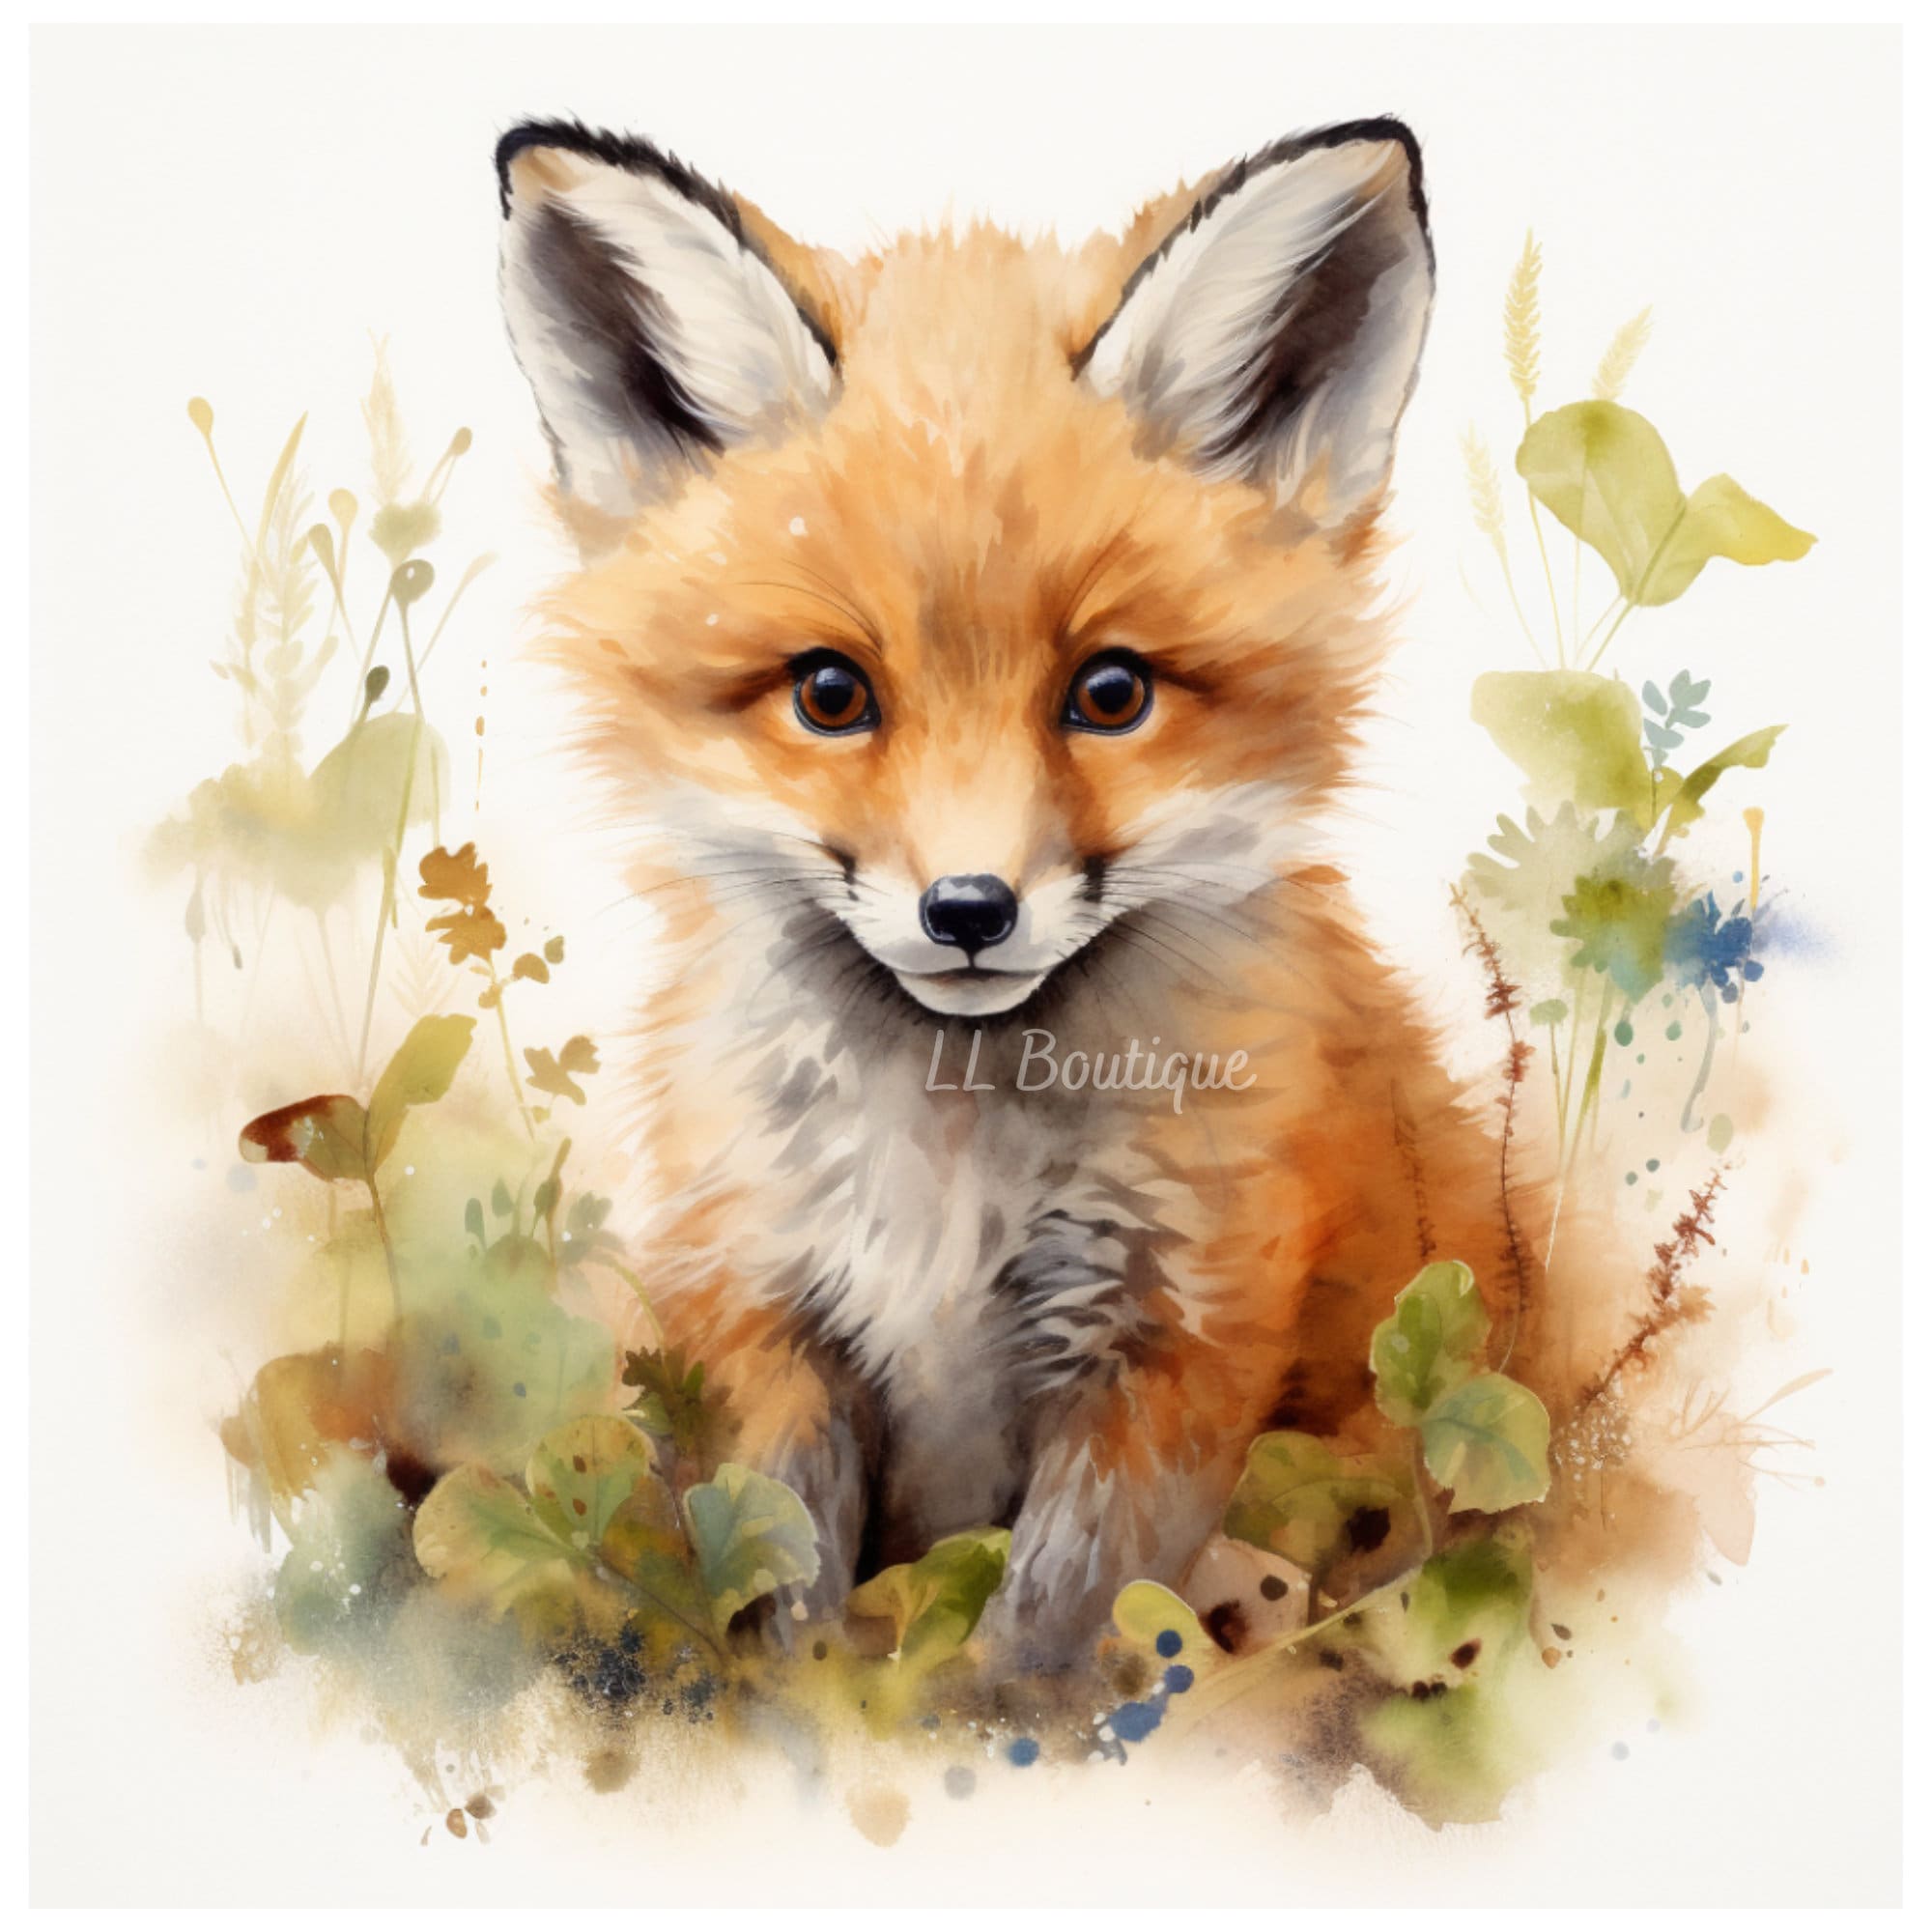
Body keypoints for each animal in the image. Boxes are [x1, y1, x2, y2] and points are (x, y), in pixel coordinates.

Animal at [493, 115, 1541, 1671]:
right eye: (830, 694)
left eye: (1109, 693)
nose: (970, 910)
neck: (948, 1163)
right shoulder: (761, 1318)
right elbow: (780, 1604)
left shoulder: (1174, 1344)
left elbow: (1042, 1643)